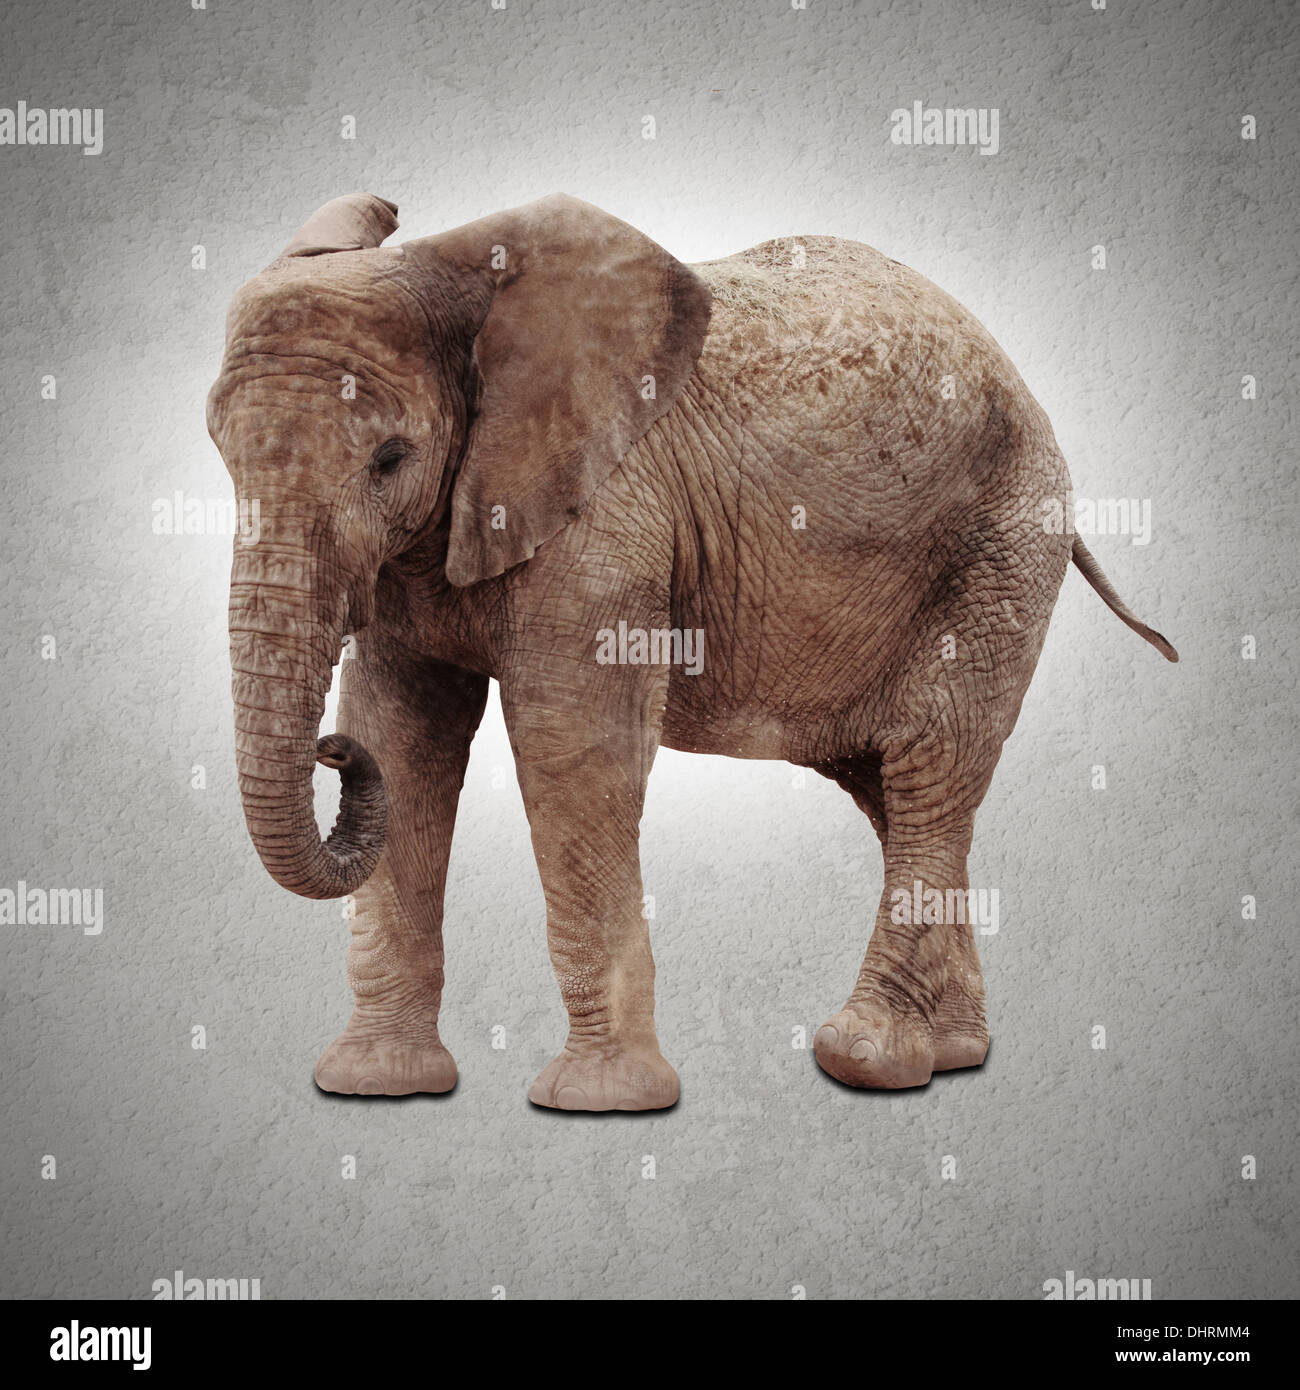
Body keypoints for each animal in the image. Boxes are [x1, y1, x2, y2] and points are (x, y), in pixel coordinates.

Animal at [207, 191, 1177, 1110]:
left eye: (388, 458)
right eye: (220, 452)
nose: (329, 753)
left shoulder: (610, 507)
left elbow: (569, 747)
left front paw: (600, 1102)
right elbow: (405, 737)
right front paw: (377, 1083)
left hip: (1002, 542)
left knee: (930, 764)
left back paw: (868, 1057)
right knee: (896, 790)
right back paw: (955, 1055)